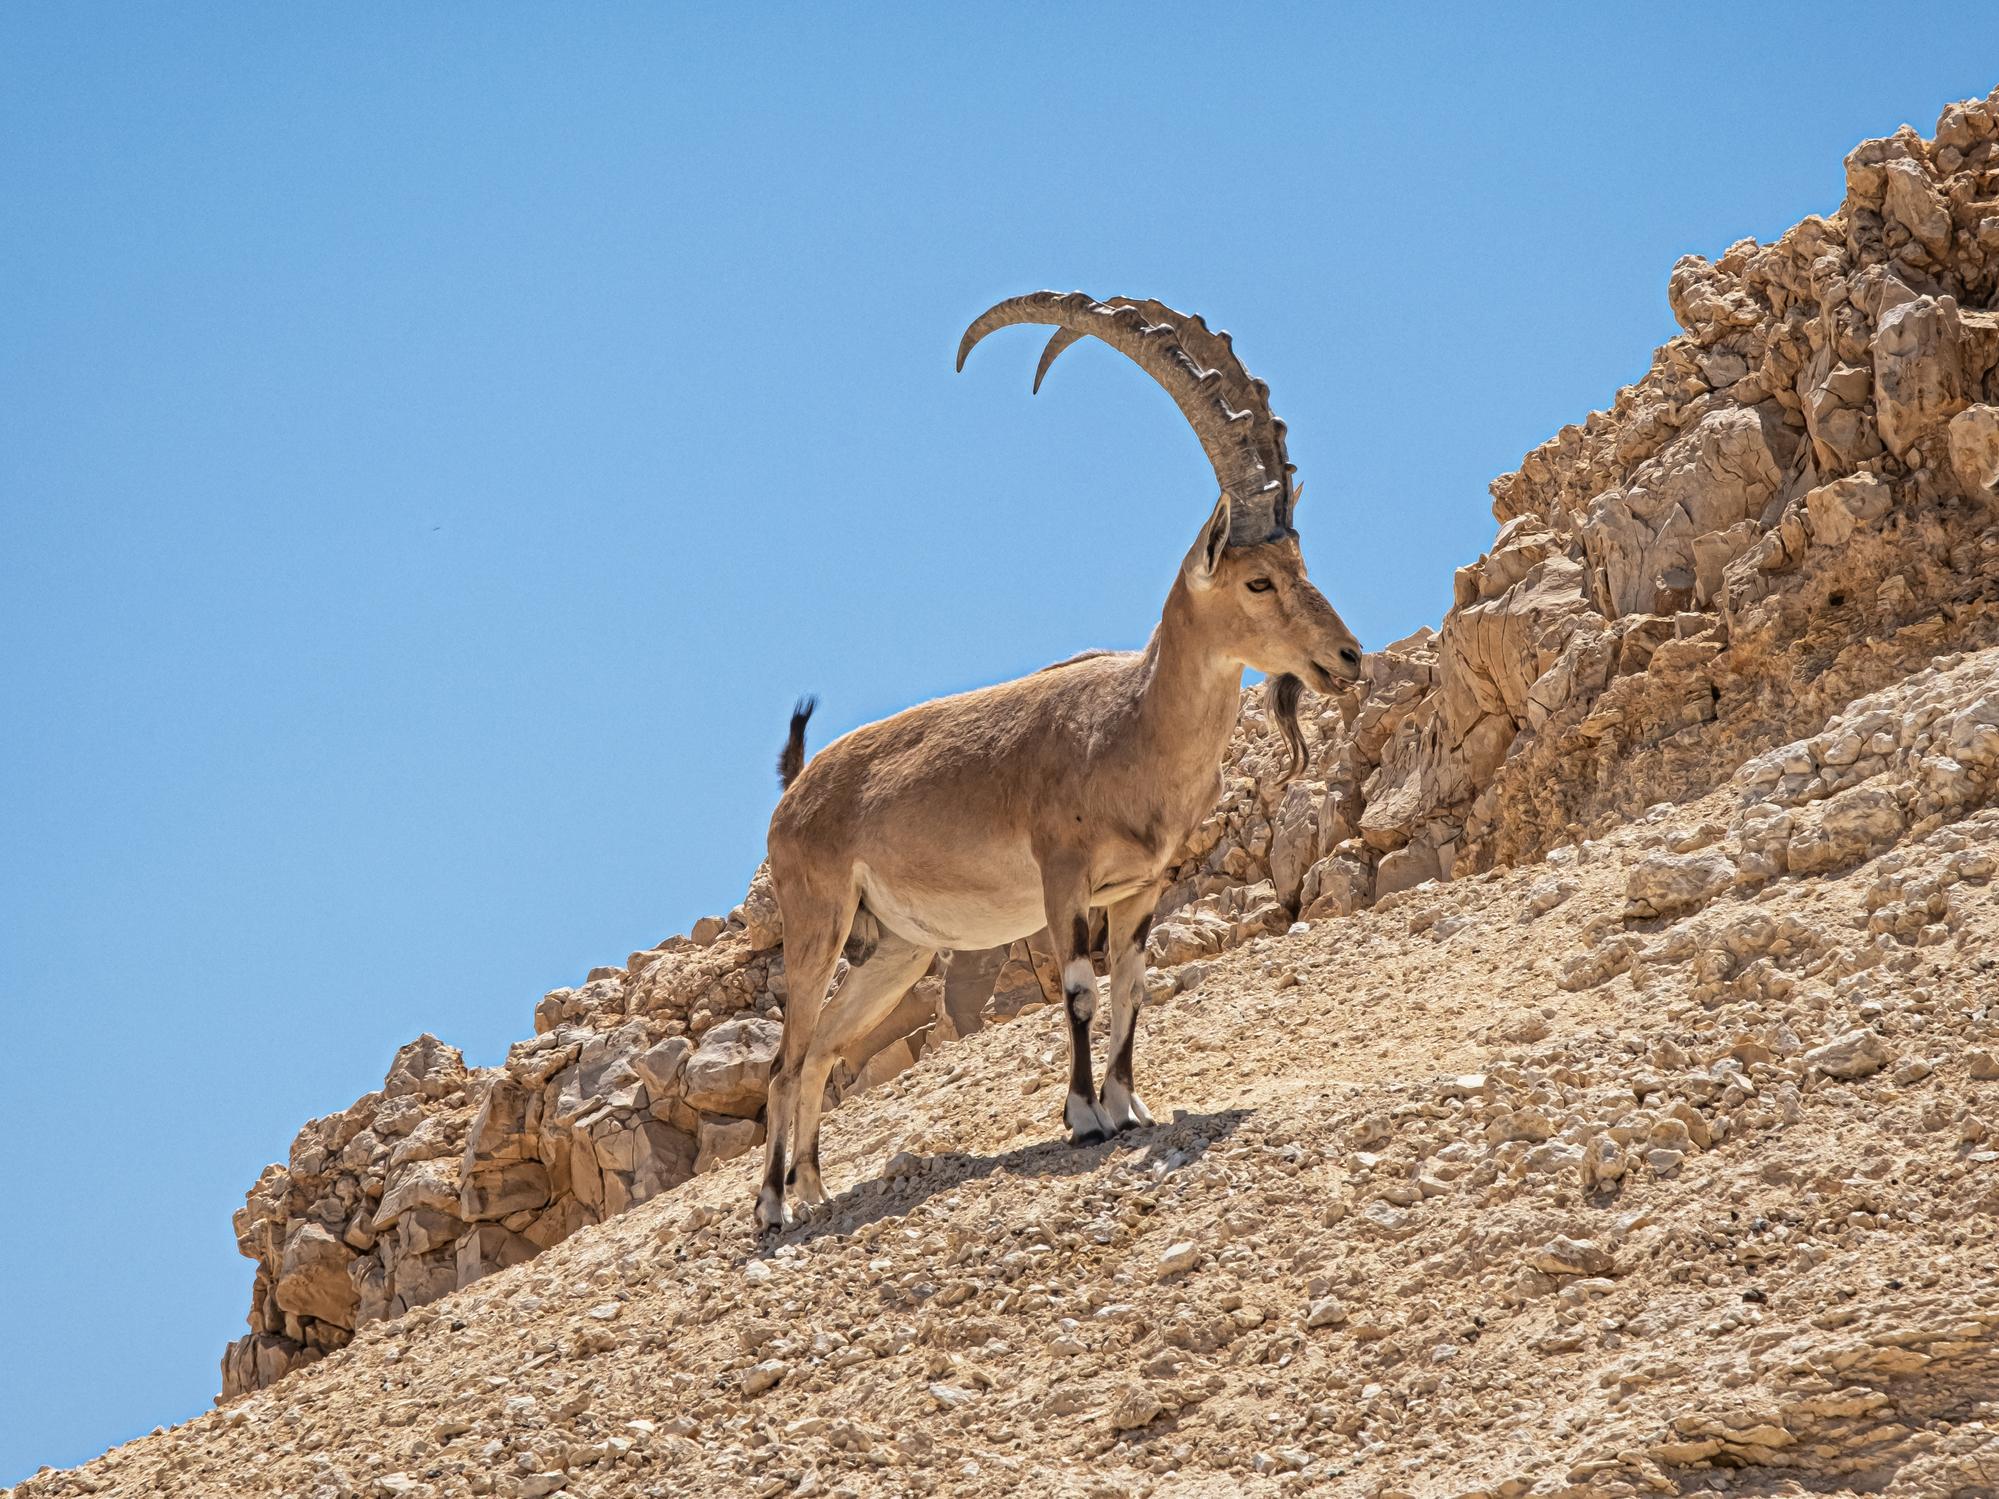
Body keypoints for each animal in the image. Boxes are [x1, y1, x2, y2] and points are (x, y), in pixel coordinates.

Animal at [755, 291, 1363, 1231]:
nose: (1347, 657)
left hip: (895, 948)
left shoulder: (1140, 889)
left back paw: (817, 1190)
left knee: (821, 1048)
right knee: (784, 1057)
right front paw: (1083, 1116)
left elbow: (1131, 985)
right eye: (1257, 581)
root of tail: (795, 794)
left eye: (1299, 562)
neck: (1130, 730)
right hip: (814, 914)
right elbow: (1078, 987)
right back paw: (772, 1207)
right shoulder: (1062, 877)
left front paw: (1130, 1104)